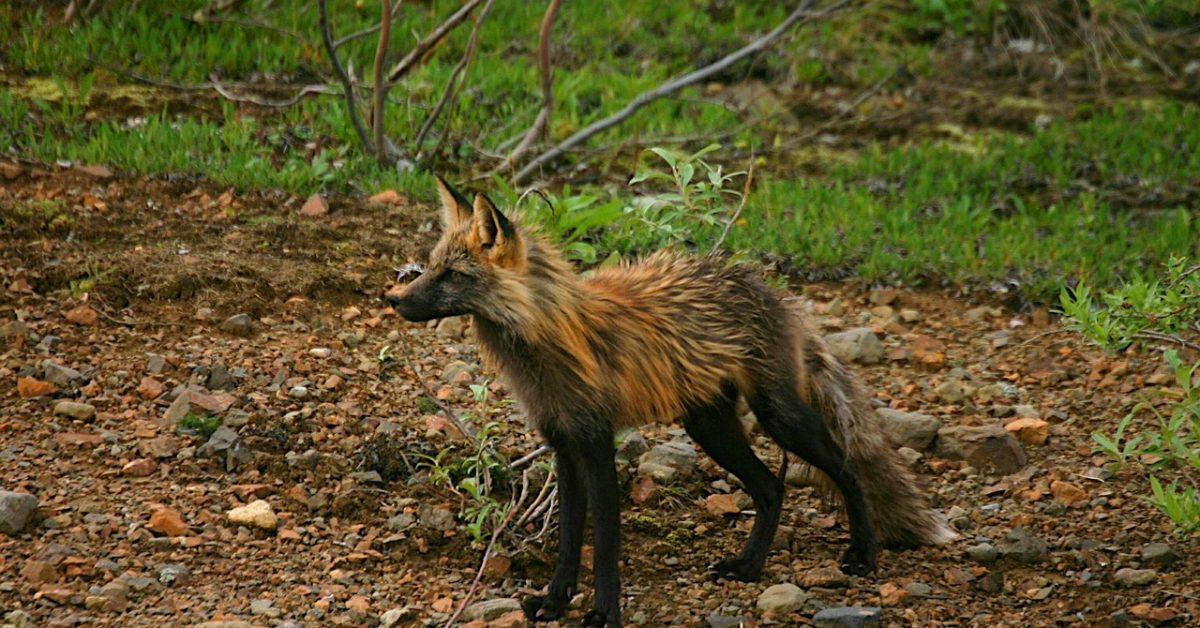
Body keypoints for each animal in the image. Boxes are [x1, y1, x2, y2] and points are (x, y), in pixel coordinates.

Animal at [387, 177, 956, 627]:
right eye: (430, 267)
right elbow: (569, 540)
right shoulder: (563, 445)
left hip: (778, 417)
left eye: (453, 275)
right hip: (710, 428)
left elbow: (606, 542)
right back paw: (749, 567)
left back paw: (862, 554)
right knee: (771, 487)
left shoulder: (597, 443)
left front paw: (603, 613)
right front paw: (554, 603)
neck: (548, 342)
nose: (393, 299)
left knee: (846, 467)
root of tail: (772, 293)